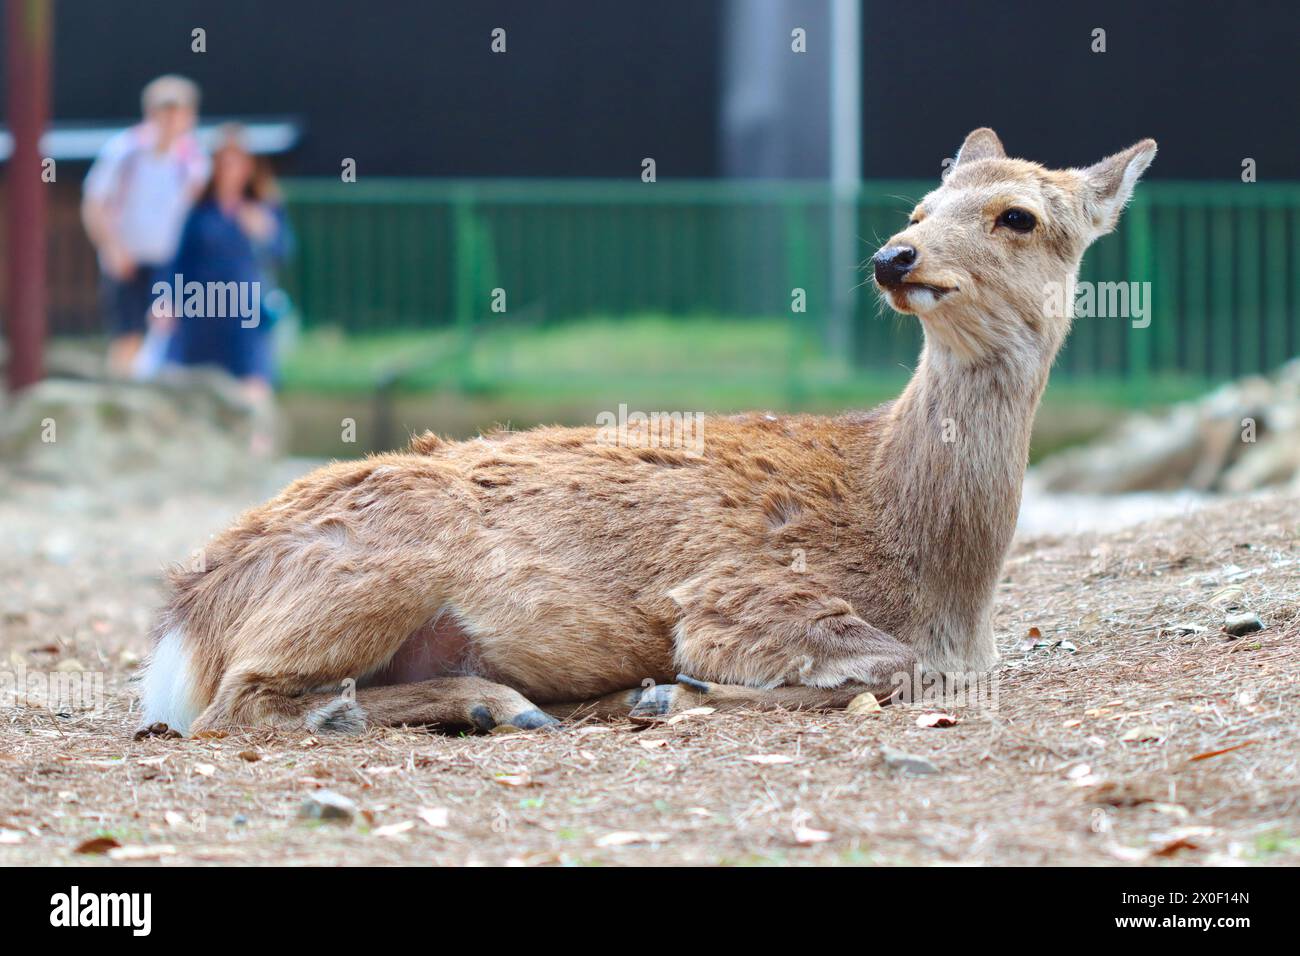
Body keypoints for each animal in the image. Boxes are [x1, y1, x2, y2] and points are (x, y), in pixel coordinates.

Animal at [137, 129, 1156, 737]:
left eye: (1019, 215)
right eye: (917, 210)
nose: (893, 257)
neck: (941, 572)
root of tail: (187, 615)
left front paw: (666, 692)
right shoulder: (736, 590)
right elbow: (891, 665)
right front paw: (675, 688)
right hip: (370, 568)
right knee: (235, 704)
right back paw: (486, 705)